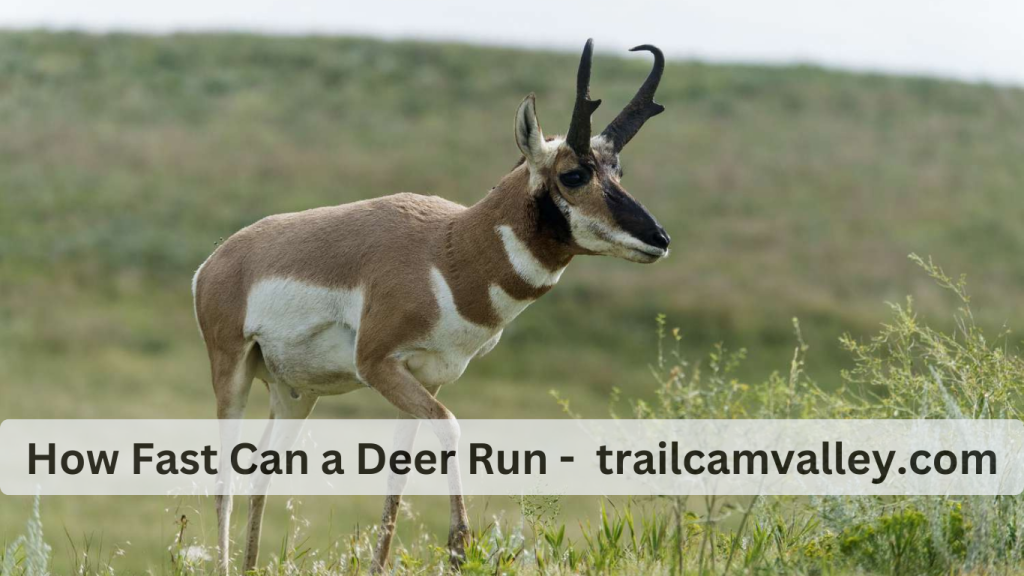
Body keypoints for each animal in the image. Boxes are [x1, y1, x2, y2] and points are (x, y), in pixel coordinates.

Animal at [191, 38, 670, 574]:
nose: (659, 239)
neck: (448, 248)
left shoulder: (426, 377)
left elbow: (397, 479)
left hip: (295, 394)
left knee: (262, 473)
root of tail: (217, 259)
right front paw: (459, 545)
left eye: (618, 171)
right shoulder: (379, 366)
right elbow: (451, 427)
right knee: (225, 480)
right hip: (232, 375)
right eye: (574, 173)